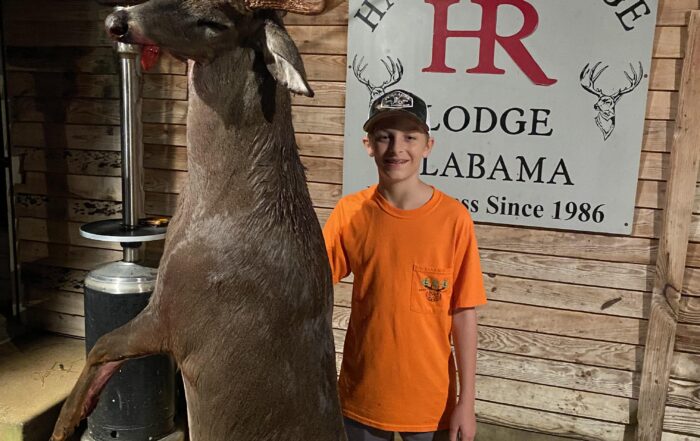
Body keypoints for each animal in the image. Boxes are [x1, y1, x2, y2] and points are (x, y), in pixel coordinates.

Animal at [49, 1, 346, 440]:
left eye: (214, 22)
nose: (118, 20)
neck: (214, 206)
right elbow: (105, 354)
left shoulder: (176, 314)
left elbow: (102, 344)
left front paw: (64, 423)